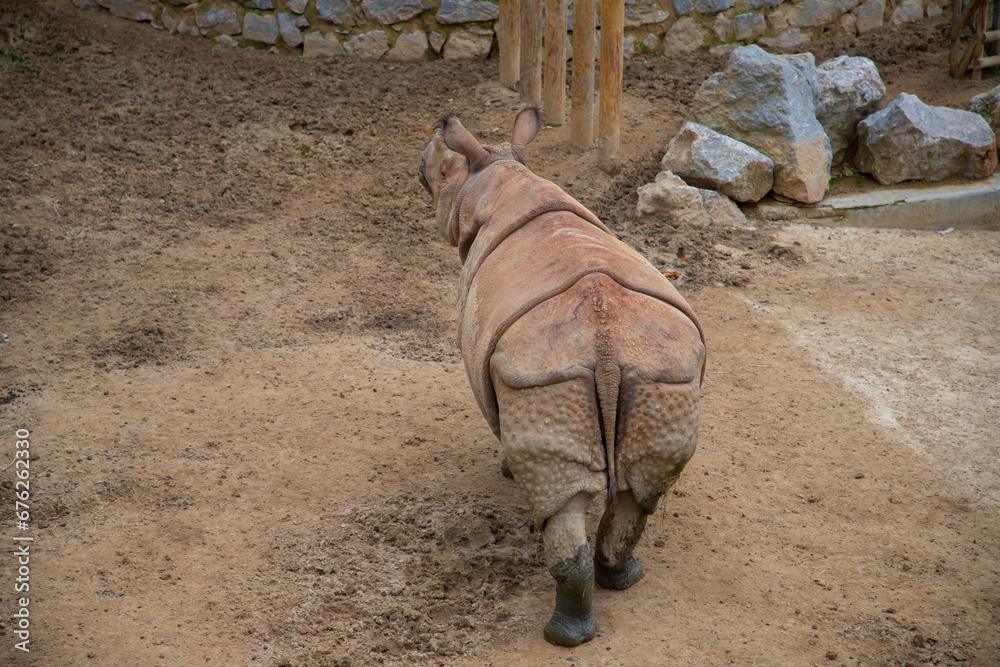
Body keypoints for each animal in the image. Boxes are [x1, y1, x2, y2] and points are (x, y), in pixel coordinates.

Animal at [419, 106, 706, 647]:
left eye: (437, 168)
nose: (417, 167)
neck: (498, 178)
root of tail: (606, 344)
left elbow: (505, 432)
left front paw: (508, 469)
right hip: (664, 369)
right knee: (640, 491)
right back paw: (625, 578)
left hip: (542, 373)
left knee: (564, 503)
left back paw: (562, 636)